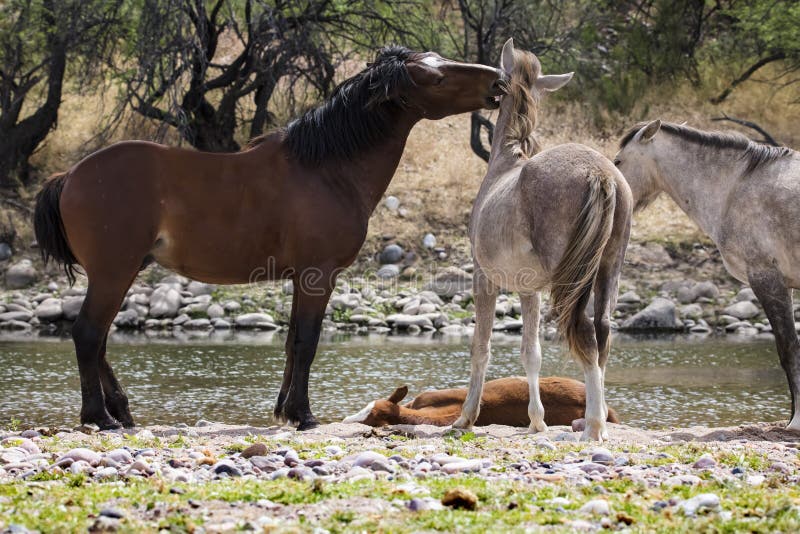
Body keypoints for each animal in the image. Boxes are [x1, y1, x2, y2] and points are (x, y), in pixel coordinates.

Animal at [33, 46, 505, 431]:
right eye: (436, 77)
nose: (498, 81)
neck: (327, 169)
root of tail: (70, 175)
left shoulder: (301, 278)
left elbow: (293, 342)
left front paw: (285, 411)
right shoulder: (319, 275)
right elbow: (307, 342)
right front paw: (304, 415)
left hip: (122, 272)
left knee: (99, 340)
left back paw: (121, 411)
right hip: (114, 272)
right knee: (88, 335)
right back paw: (100, 417)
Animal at [452, 39, 632, 442]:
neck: (506, 160)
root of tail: (601, 174)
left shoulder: (484, 279)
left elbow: (481, 347)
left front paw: (466, 417)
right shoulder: (529, 288)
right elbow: (530, 352)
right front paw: (537, 420)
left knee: (584, 332)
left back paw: (593, 426)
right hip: (609, 267)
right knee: (603, 332)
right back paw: (599, 418)